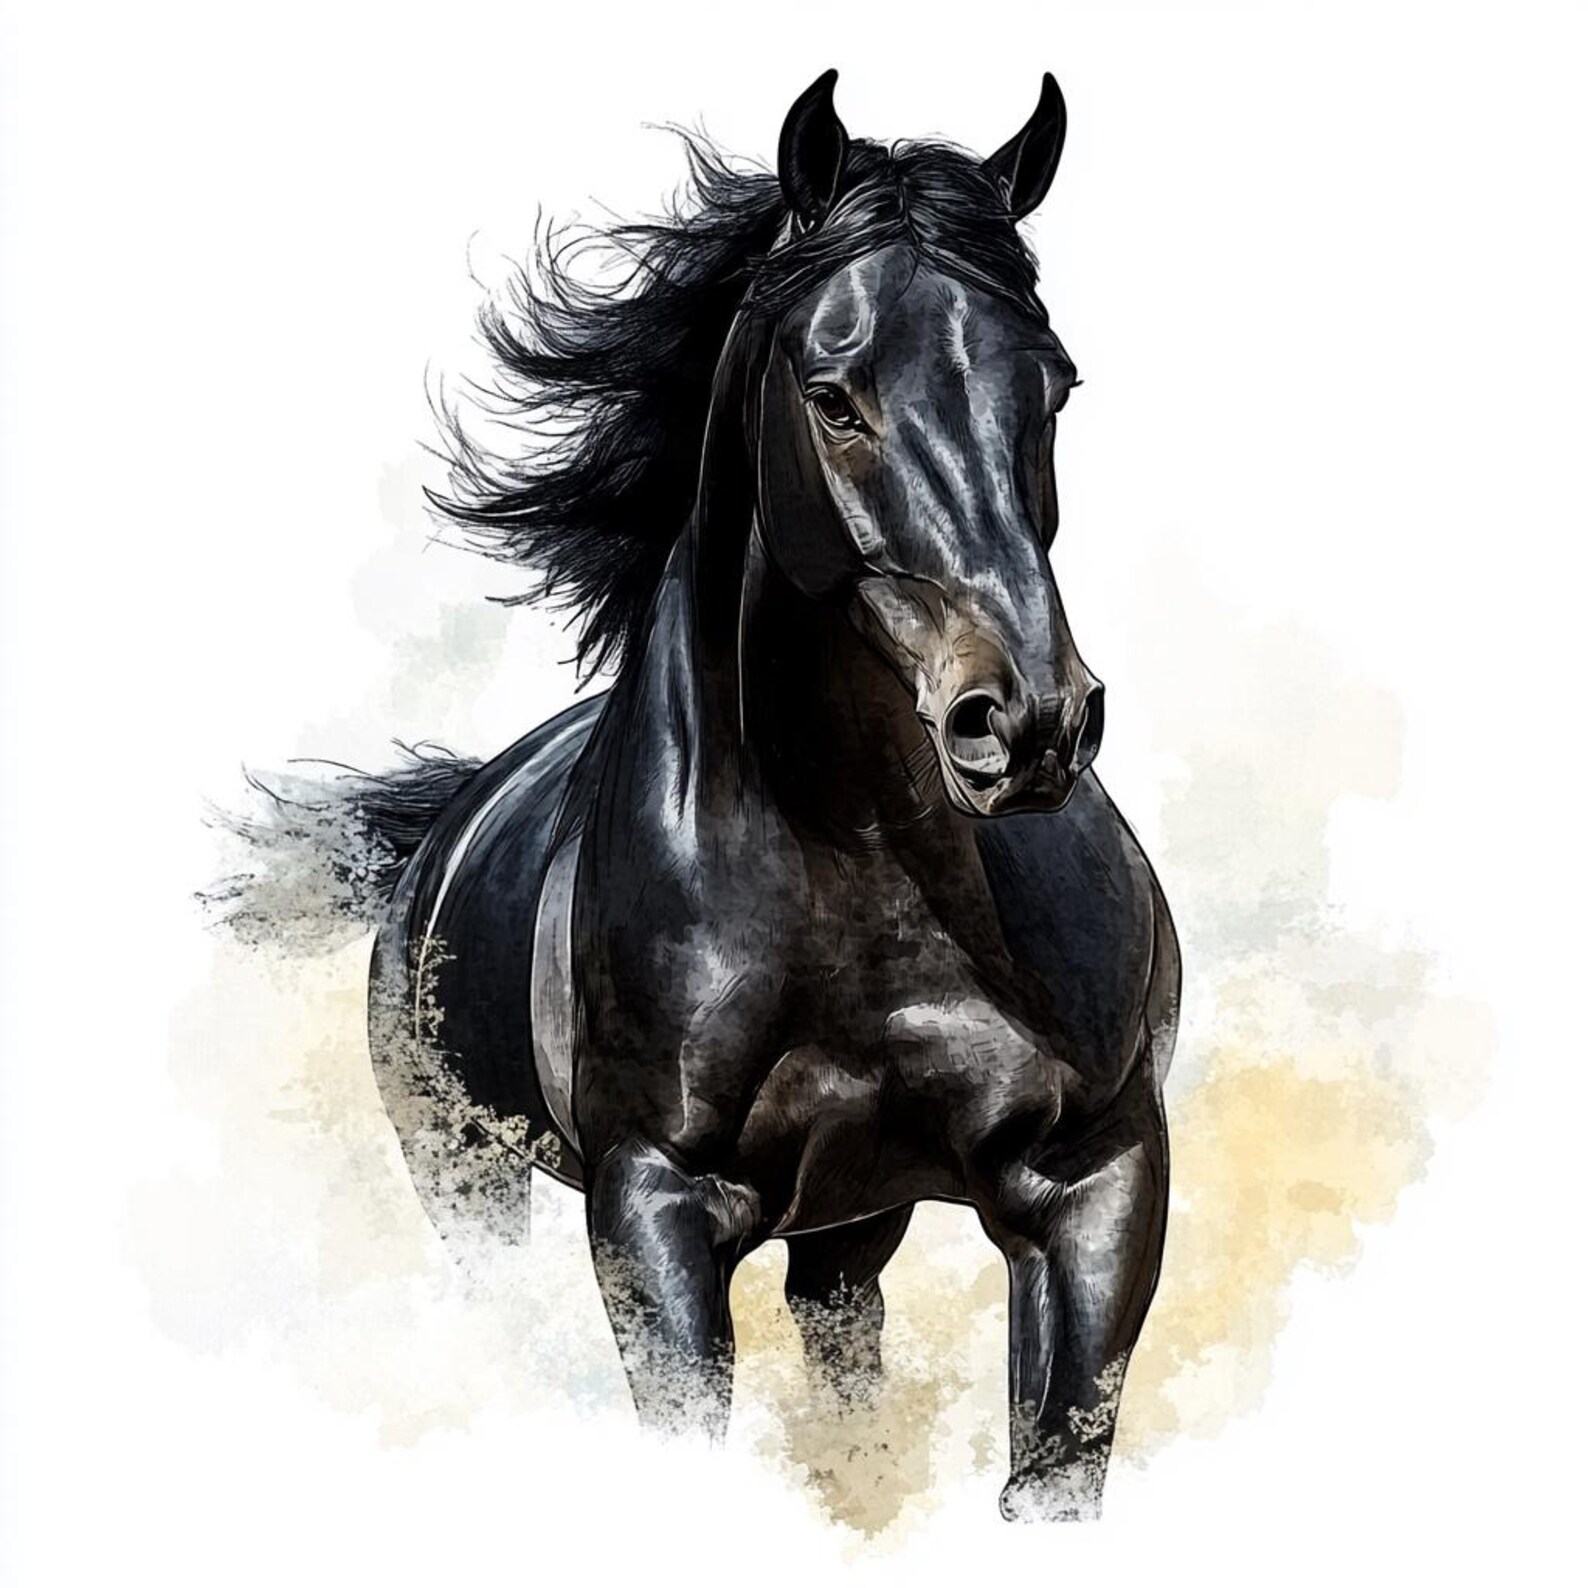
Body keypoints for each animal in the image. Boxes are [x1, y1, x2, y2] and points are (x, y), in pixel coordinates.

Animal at [297, 71, 1177, 1521]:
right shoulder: (653, 1207)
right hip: (464, 1175)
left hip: (852, 1225)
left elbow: (1051, 1469)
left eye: (1051, 388)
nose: (1028, 726)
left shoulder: (1094, 1183)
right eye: (834, 398)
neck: (867, 870)